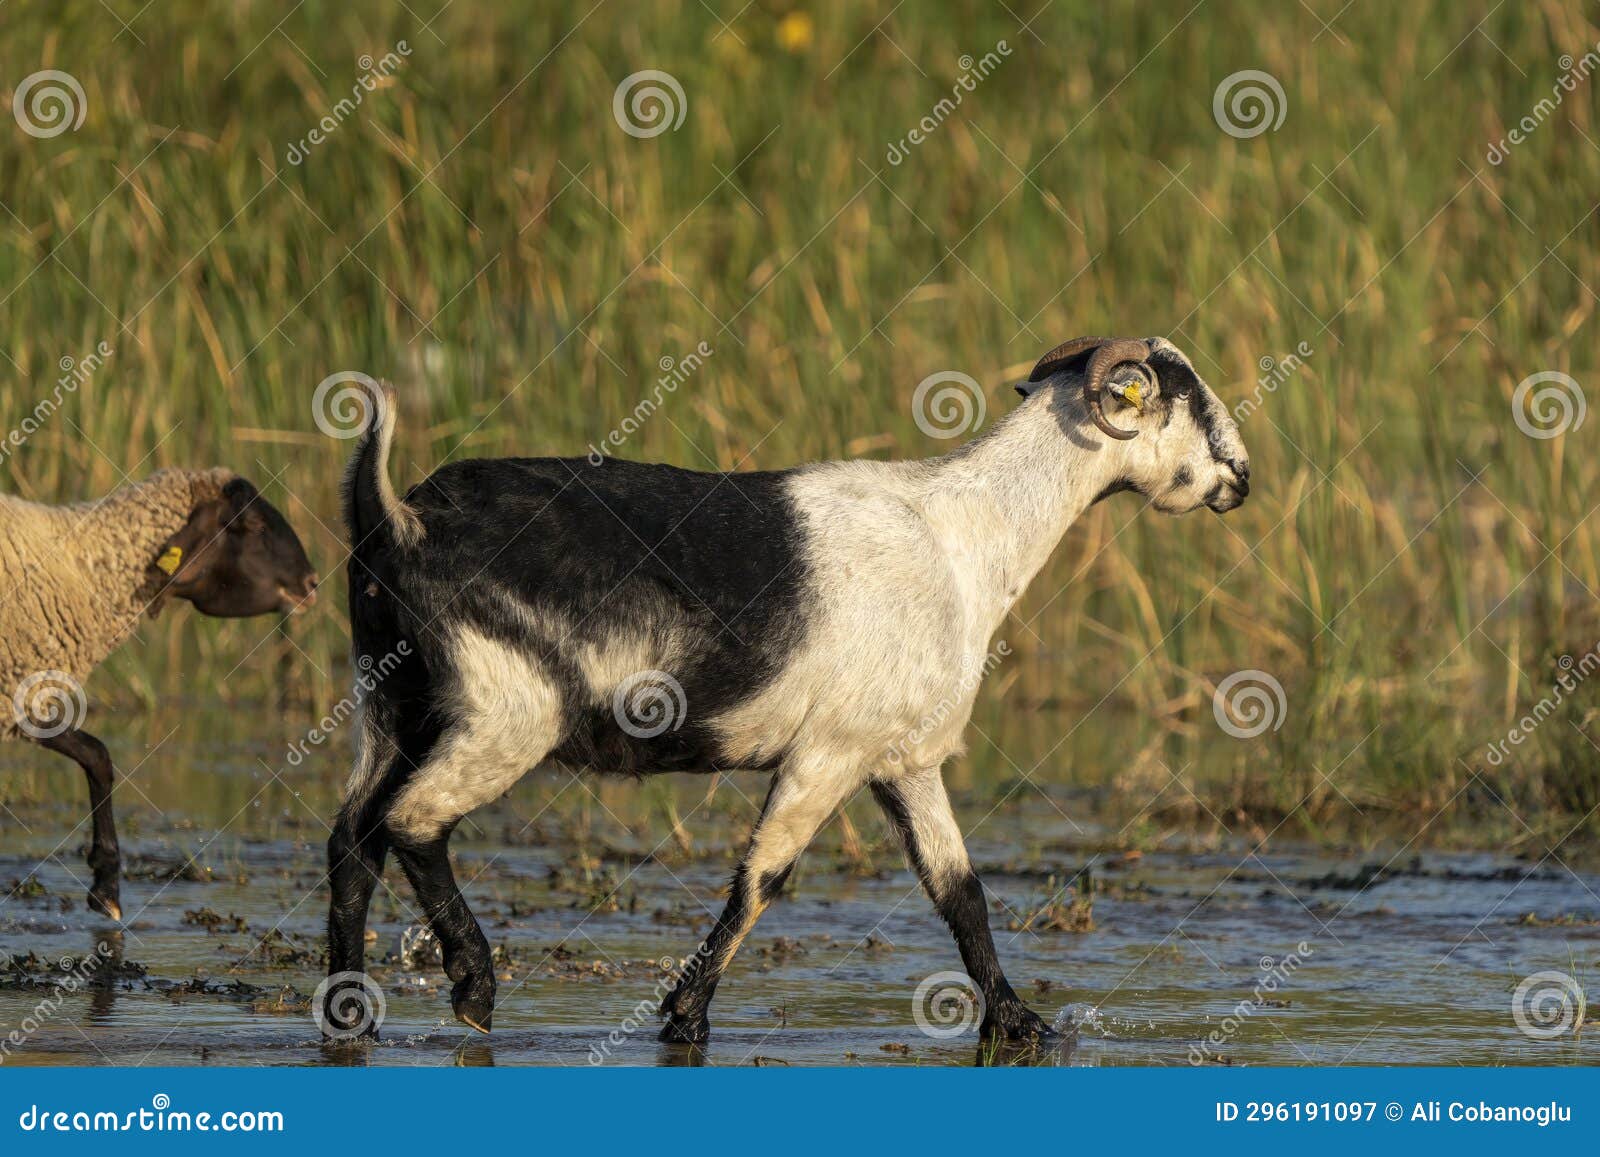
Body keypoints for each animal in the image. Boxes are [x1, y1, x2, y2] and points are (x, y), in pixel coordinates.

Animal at [2, 468, 320, 919]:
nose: (312, 583)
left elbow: (95, 755)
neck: (83, 567)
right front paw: (107, 887)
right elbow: (98, 756)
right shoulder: (20, 691)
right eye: (255, 525)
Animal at [322, 335, 1250, 1044]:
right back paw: (474, 985)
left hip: (394, 699)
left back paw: (350, 1014)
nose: (1241, 475)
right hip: (508, 708)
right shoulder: (830, 750)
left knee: (352, 839)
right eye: (1182, 398)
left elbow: (961, 892)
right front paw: (685, 1016)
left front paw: (1021, 1022)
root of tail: (399, 518)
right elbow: (762, 878)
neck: (966, 536)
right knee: (413, 820)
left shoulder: (903, 758)